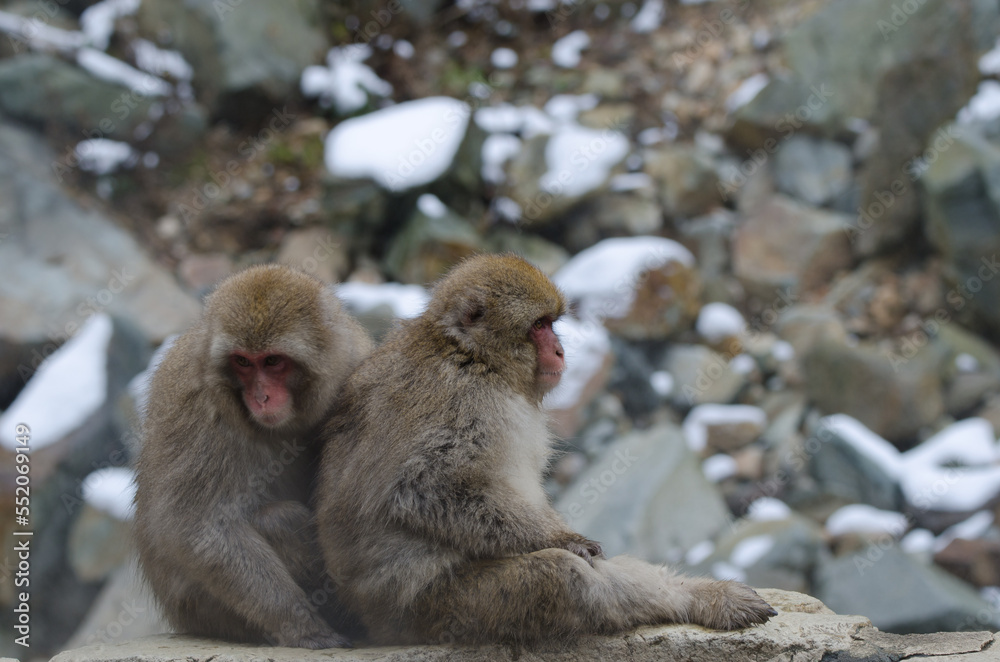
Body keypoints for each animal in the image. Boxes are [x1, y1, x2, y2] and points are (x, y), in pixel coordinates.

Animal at [133, 264, 373, 648]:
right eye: (243, 362)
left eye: (273, 361)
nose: (261, 397)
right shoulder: (203, 409)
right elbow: (200, 527)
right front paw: (300, 625)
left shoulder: (352, 363)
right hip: (210, 612)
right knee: (280, 520)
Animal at [315, 254, 776, 646]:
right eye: (539, 325)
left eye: (553, 323)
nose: (559, 349)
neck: (476, 358)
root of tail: (374, 624)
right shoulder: (467, 400)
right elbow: (421, 487)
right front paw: (564, 539)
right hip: (436, 611)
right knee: (563, 578)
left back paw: (701, 597)